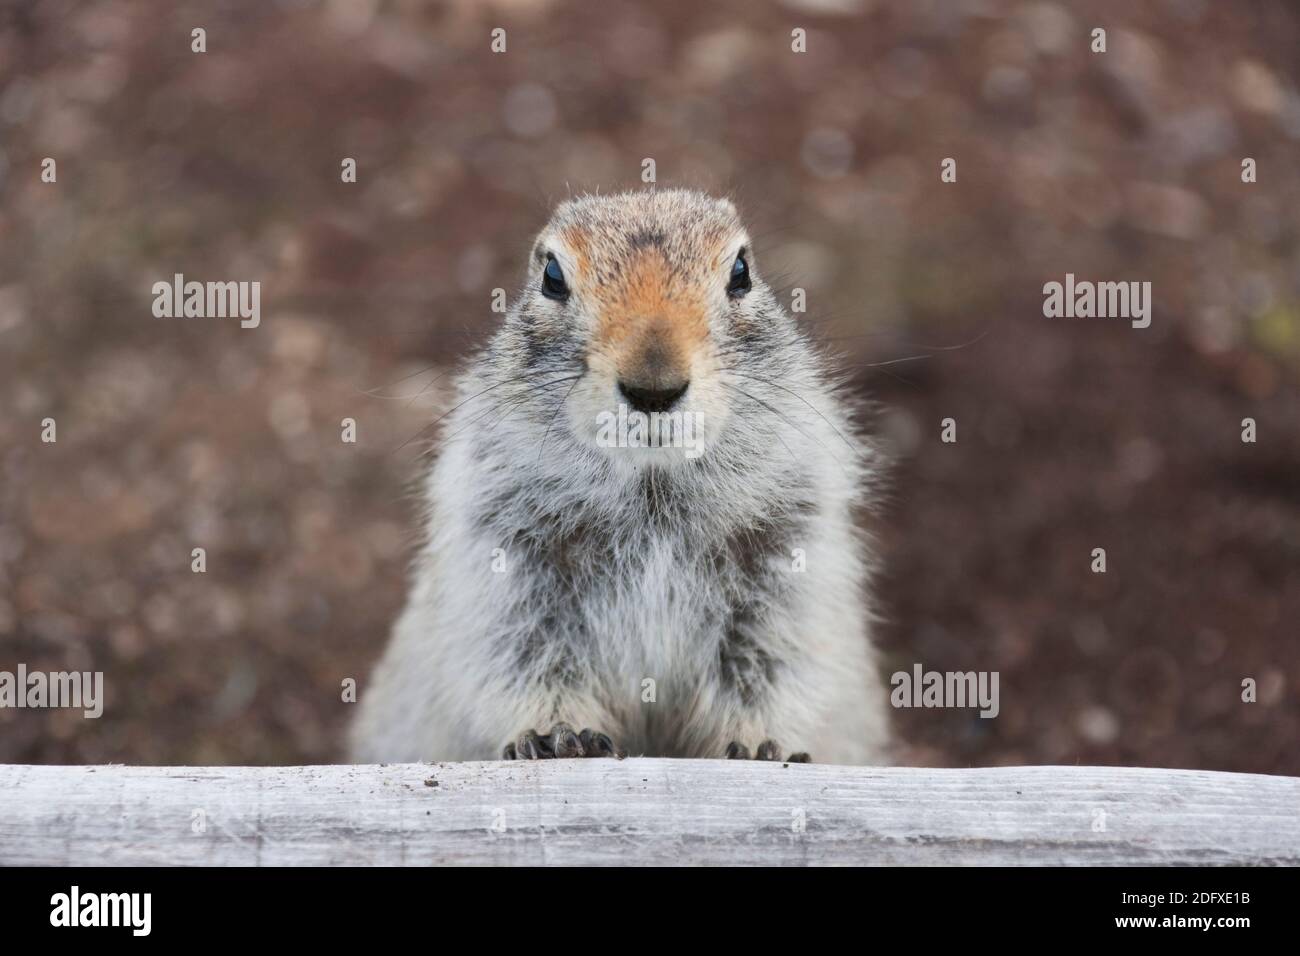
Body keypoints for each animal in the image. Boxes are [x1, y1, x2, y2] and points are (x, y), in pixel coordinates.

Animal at [349, 189, 891, 765]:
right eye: (553, 277)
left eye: (741, 272)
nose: (654, 387)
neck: (651, 485)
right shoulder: (504, 561)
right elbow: (525, 659)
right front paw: (558, 736)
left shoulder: (788, 562)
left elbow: (771, 667)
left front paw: (760, 746)